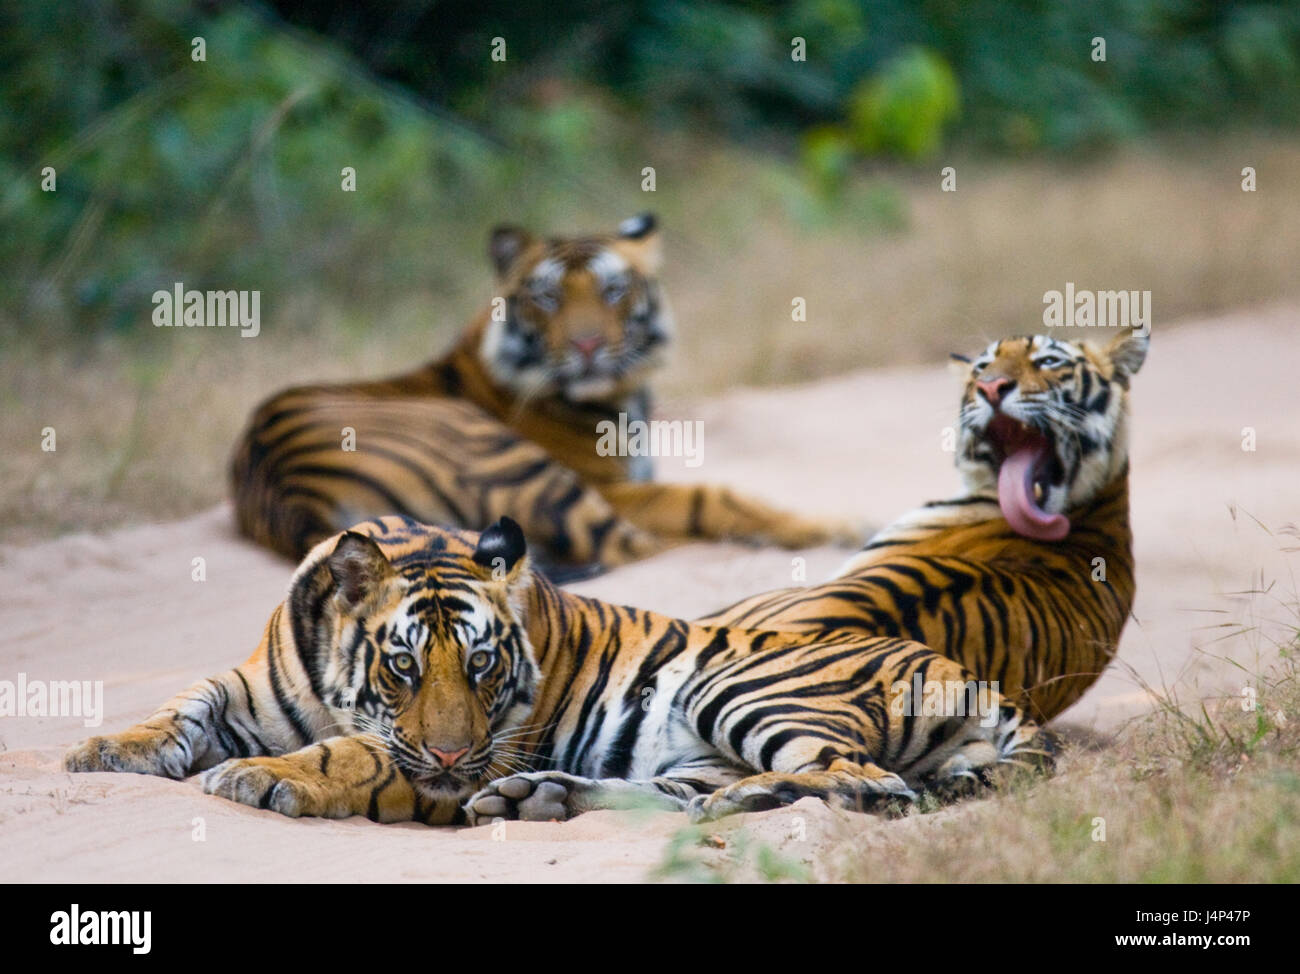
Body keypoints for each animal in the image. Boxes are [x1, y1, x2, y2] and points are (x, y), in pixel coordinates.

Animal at [65, 515, 1050, 825]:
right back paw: (541, 798)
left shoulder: (442, 757)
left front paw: (262, 777)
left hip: (739, 692)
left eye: (483, 666)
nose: (457, 762)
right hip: (701, 747)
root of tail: (975, 676)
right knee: (693, 794)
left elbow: (349, 755)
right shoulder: (249, 684)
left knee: (868, 781)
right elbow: (184, 704)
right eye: (402, 667)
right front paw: (107, 750)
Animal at [229, 213, 846, 576]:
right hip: (512, 460)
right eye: (548, 297)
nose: (587, 344)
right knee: (635, 548)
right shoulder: (610, 487)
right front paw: (831, 525)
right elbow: (714, 497)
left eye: (613, 290)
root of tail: (285, 489)